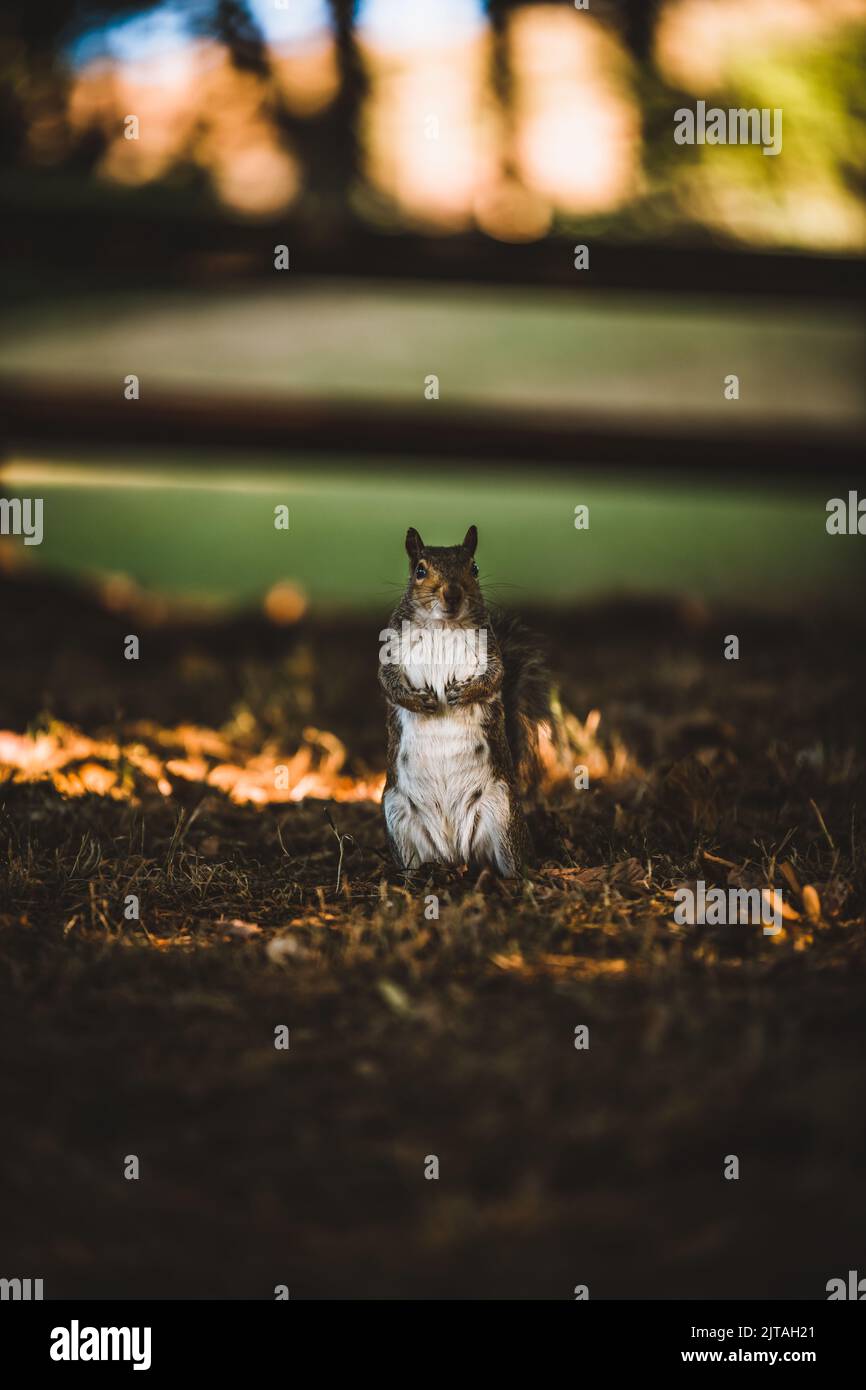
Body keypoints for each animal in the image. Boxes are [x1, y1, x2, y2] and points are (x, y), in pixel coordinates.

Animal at [378, 524, 550, 876]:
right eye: (420, 570)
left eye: (474, 568)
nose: (452, 594)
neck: (443, 625)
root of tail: (455, 852)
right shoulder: (391, 649)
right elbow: (387, 682)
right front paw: (419, 701)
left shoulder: (489, 650)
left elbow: (495, 676)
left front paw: (463, 693)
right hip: (396, 814)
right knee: (411, 861)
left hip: (504, 812)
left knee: (512, 861)